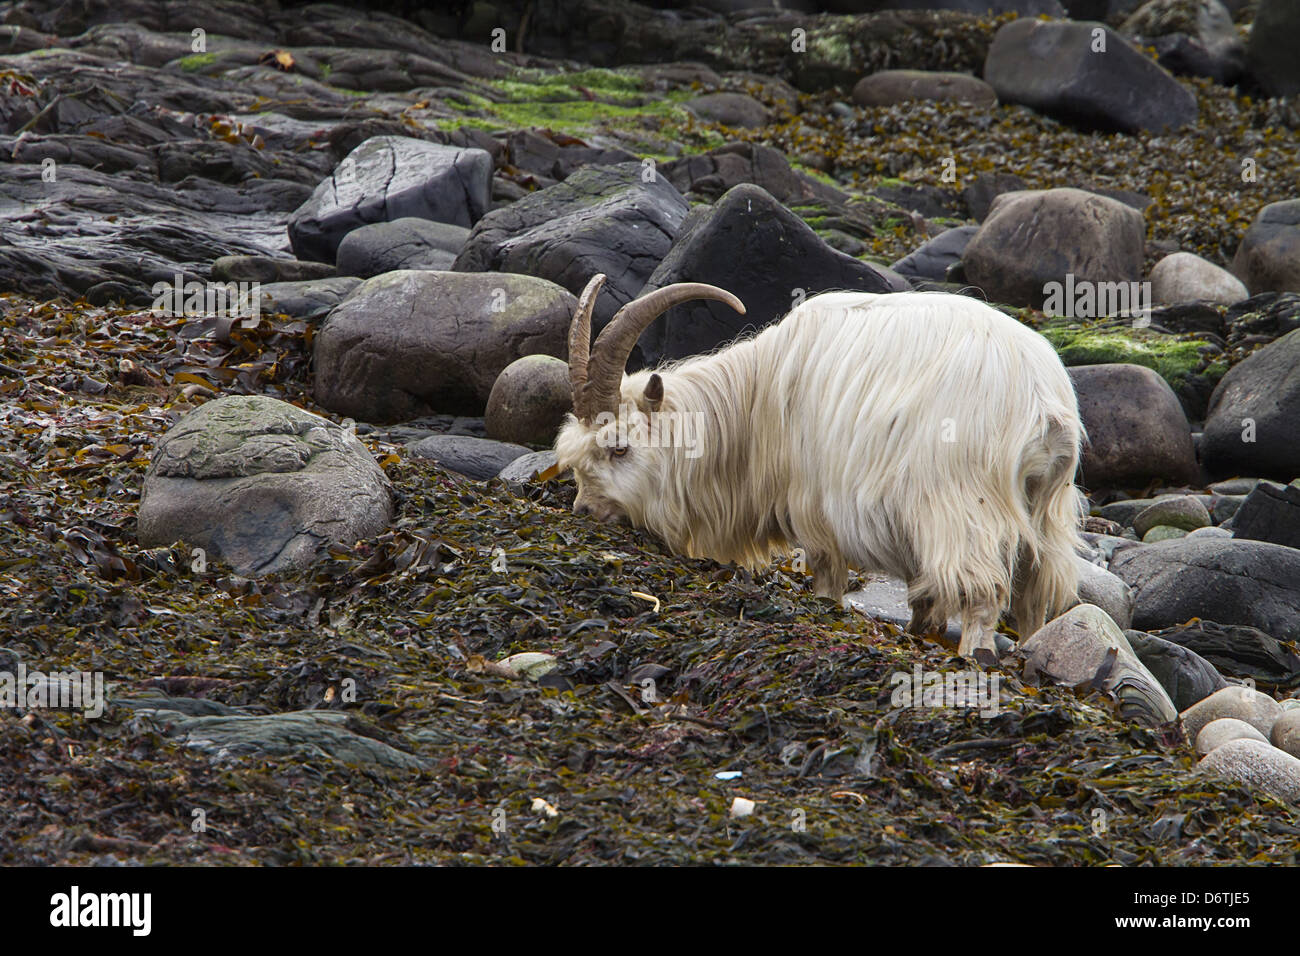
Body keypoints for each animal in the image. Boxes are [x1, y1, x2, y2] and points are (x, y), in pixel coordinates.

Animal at [553, 275, 1085, 663]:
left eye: (620, 449)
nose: (585, 511)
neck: (757, 401)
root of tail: (1041, 402)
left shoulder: (816, 509)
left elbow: (829, 579)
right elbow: (924, 596)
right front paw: (920, 634)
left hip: (959, 505)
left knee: (984, 590)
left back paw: (974, 657)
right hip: (1045, 510)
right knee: (1034, 592)